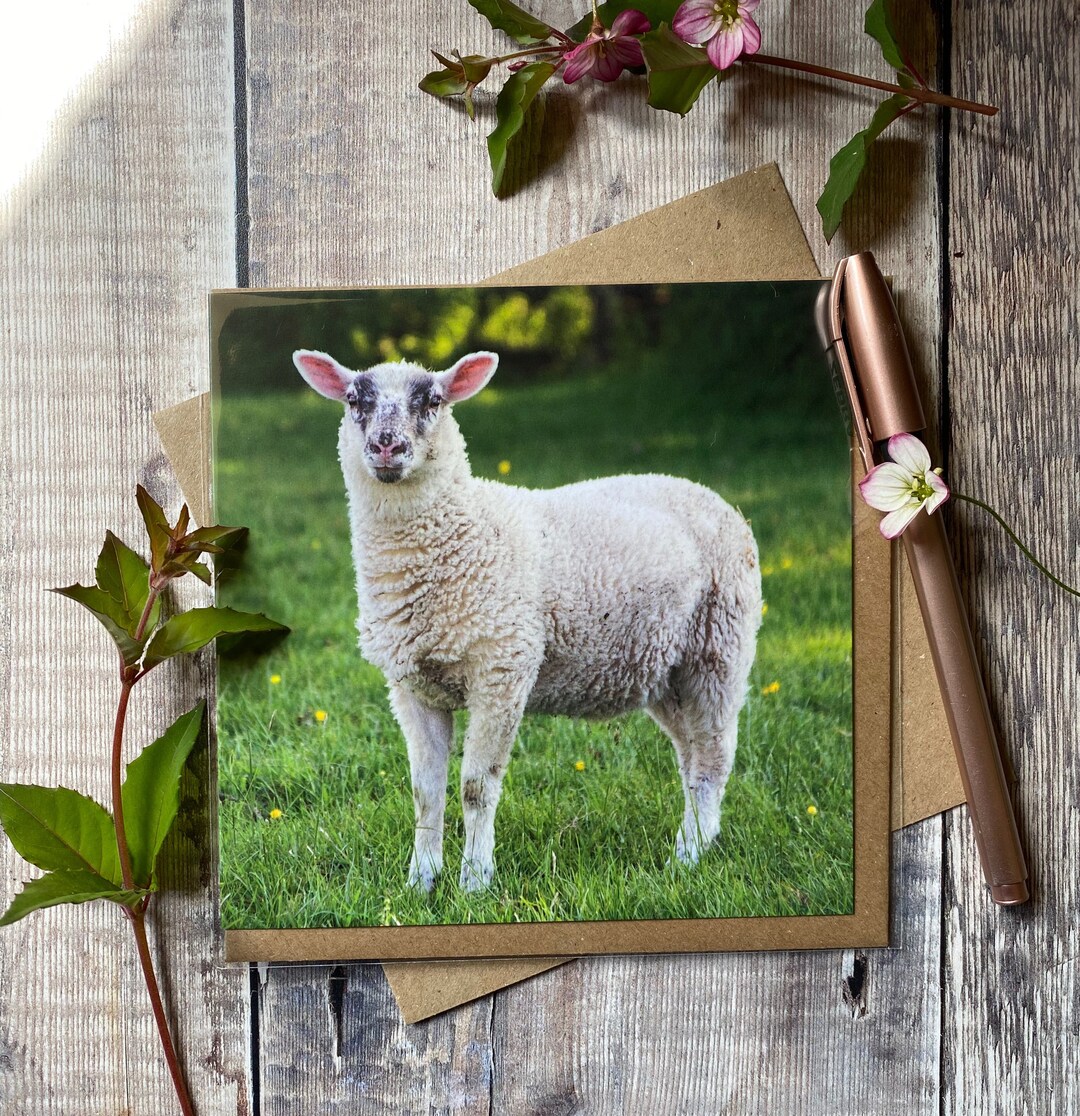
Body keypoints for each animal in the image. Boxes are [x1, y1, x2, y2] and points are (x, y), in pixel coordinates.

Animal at [293, 348, 763, 892]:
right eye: (354, 400)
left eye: (433, 401)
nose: (387, 445)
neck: (460, 532)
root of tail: (712, 496)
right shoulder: (412, 686)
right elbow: (424, 790)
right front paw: (421, 880)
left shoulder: (503, 669)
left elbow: (476, 787)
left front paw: (474, 881)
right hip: (664, 670)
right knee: (691, 757)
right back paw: (700, 841)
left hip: (718, 647)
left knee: (712, 760)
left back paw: (687, 857)